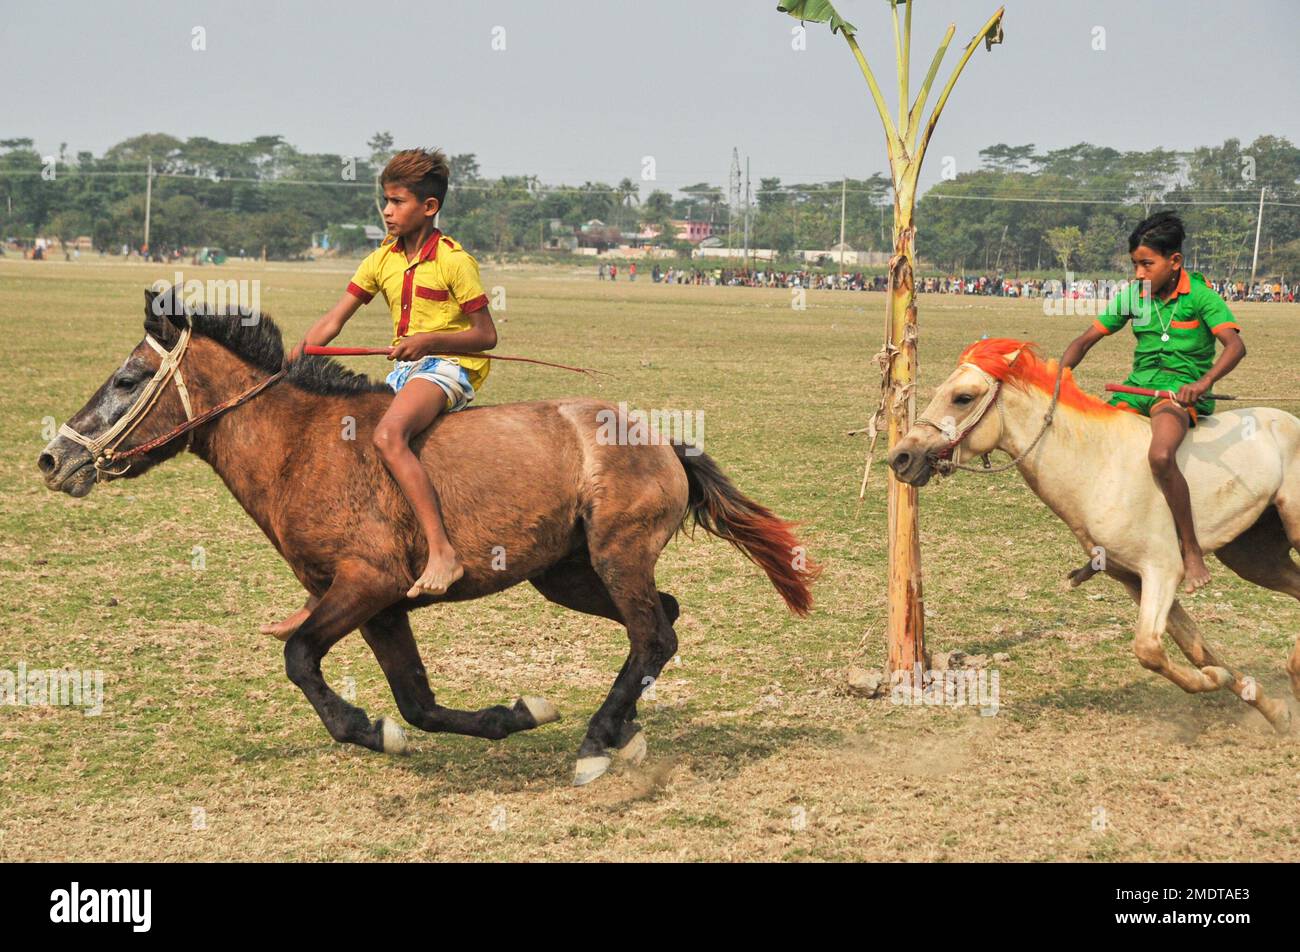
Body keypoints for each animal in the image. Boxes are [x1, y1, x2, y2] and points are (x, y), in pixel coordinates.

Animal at [37, 288, 820, 785]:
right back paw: (623, 730)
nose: (55, 459)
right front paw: (516, 714)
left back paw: (598, 743)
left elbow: (299, 658)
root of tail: (664, 442)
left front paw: (371, 730)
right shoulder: (380, 607)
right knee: (662, 624)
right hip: (566, 574)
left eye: (129, 378)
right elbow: (419, 702)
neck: (299, 446)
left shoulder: (367, 583)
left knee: (653, 633)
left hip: (615, 554)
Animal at [887, 338, 1300, 733]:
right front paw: (1272, 710)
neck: (1096, 466)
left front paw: (1221, 680)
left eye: (963, 397)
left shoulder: (1163, 570)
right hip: (1253, 555)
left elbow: (1149, 649)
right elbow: (1195, 650)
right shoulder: (1131, 578)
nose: (901, 458)